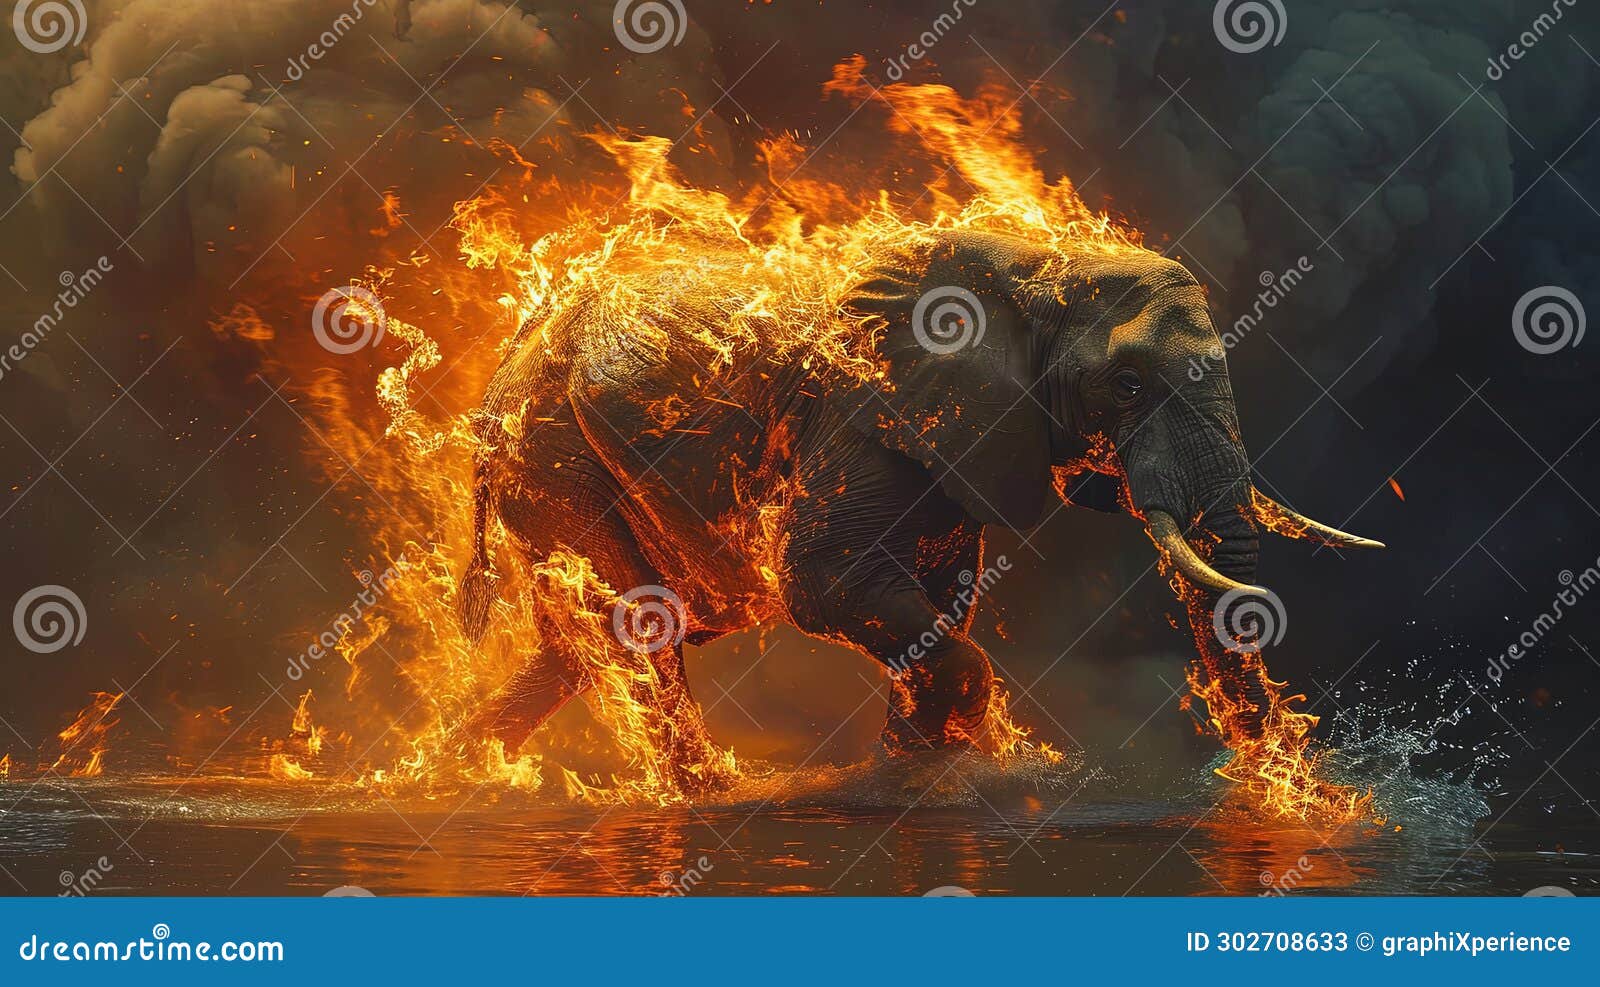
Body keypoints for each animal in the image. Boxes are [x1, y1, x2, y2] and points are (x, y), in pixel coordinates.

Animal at [455, 229, 1381, 787]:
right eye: (1126, 385)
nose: (1290, 789)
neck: (1038, 265)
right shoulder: (859, 412)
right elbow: (823, 580)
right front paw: (934, 770)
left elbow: (942, 598)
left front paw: (911, 774)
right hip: (554, 456)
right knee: (636, 629)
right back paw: (710, 794)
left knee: (582, 648)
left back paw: (454, 770)